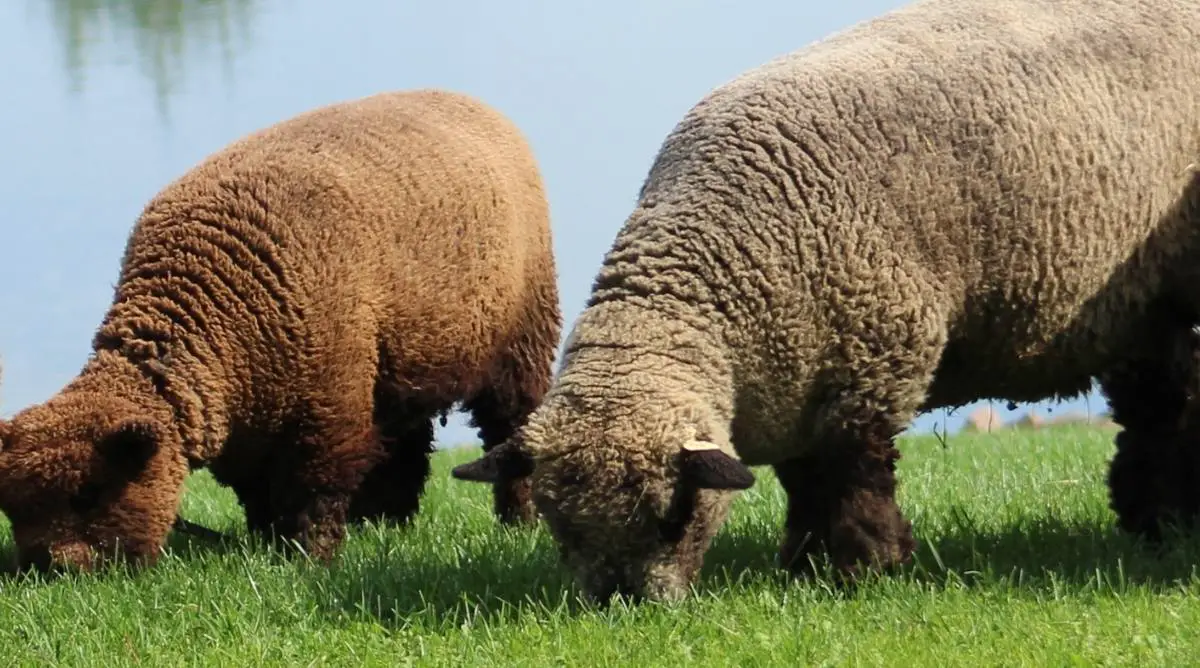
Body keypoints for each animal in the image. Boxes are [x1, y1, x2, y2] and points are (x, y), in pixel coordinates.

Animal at [0, 88, 561, 573]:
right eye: (14, 507)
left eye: (89, 494)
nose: (50, 571)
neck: (215, 327)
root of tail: (474, 103)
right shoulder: (253, 420)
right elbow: (260, 494)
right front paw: (268, 543)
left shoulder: (326, 404)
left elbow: (318, 487)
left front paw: (312, 559)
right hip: (402, 357)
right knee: (404, 444)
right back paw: (386, 523)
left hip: (522, 340)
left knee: (510, 428)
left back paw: (517, 520)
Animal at [452, 0, 1200, 603]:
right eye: (557, 523)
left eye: (673, 515)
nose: (624, 606)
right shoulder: (796, 379)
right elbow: (804, 480)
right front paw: (805, 565)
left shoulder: (874, 356)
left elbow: (852, 478)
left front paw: (864, 571)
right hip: (1142, 317)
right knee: (1156, 415)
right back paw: (1154, 523)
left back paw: (1167, 526)